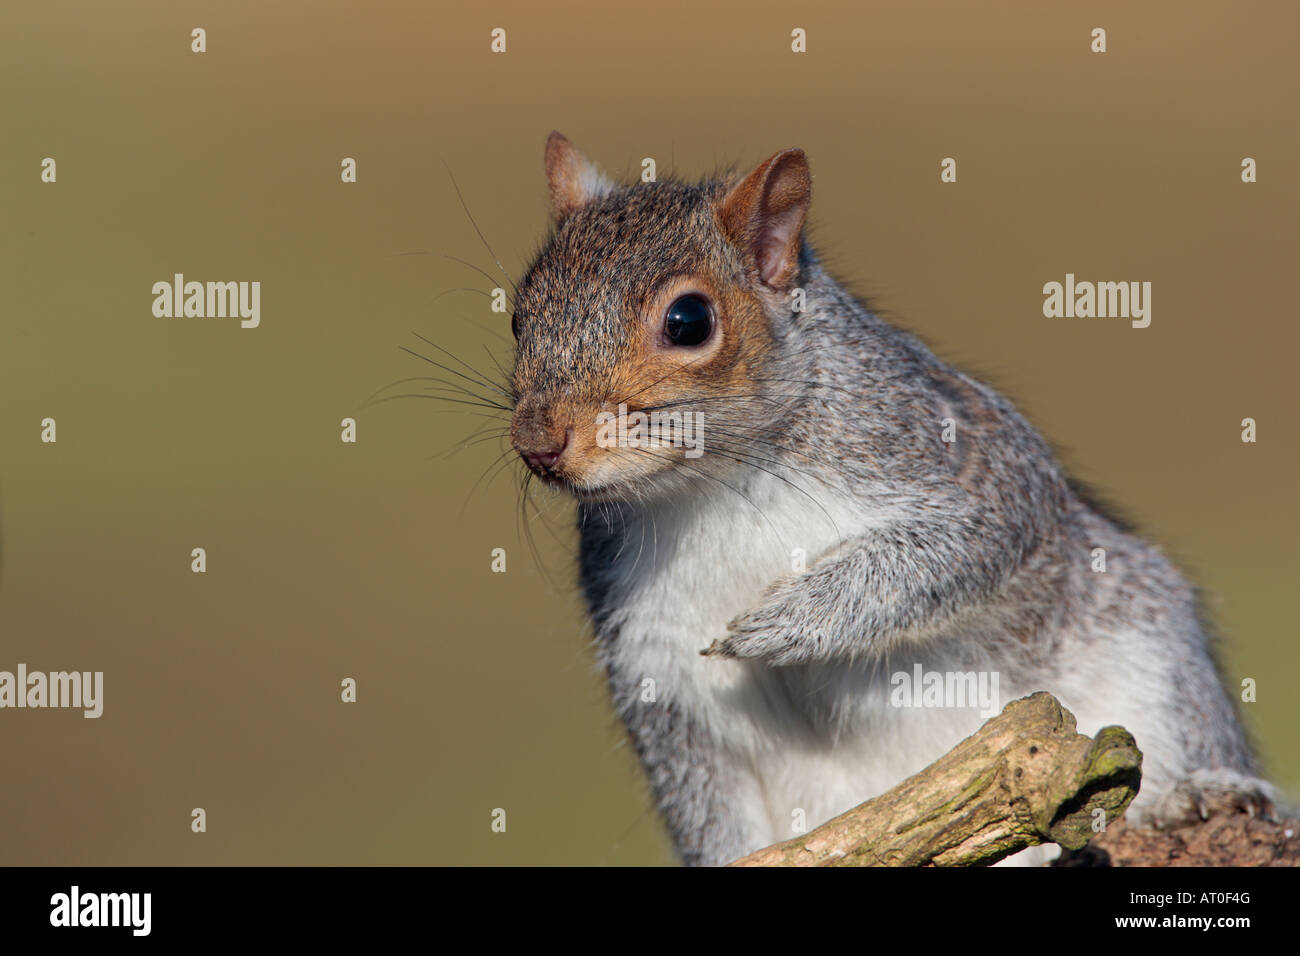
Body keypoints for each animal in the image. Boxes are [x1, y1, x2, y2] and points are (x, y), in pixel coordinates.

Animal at [503, 131, 1276, 866]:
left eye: (689, 320)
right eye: (518, 313)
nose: (539, 444)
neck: (710, 488)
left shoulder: (972, 464)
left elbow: (962, 548)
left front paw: (784, 624)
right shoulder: (663, 685)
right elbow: (712, 816)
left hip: (1155, 667)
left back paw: (1190, 798)